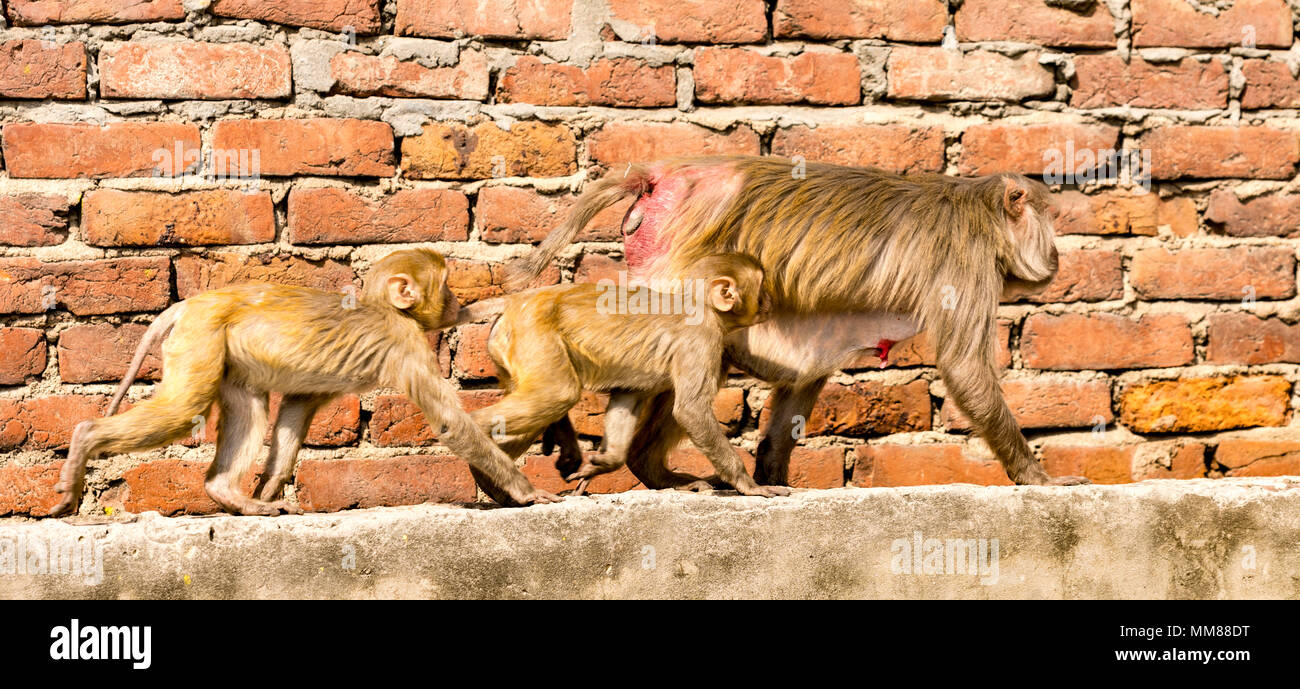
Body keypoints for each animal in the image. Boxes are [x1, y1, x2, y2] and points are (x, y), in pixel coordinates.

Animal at [50, 249, 561, 517]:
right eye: (447, 285)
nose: (456, 303)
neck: (384, 308)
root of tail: (188, 304)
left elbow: (296, 409)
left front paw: (268, 489)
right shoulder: (406, 345)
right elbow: (452, 426)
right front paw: (525, 490)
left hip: (224, 353)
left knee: (249, 410)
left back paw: (229, 494)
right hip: (200, 338)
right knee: (182, 409)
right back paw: (84, 440)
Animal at [467, 252, 788, 499]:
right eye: (761, 287)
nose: (769, 301)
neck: (700, 306)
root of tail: (515, 302)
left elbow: (627, 397)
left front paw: (606, 463)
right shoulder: (702, 339)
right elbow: (691, 410)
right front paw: (748, 484)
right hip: (533, 333)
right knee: (558, 393)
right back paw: (479, 445)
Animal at [507, 155, 1088, 489]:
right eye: (1048, 218)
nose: (1058, 254)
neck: (982, 214)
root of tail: (658, 178)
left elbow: (804, 376)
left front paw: (771, 468)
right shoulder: (967, 262)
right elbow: (964, 365)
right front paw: (1036, 476)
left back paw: (649, 468)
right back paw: (649, 465)